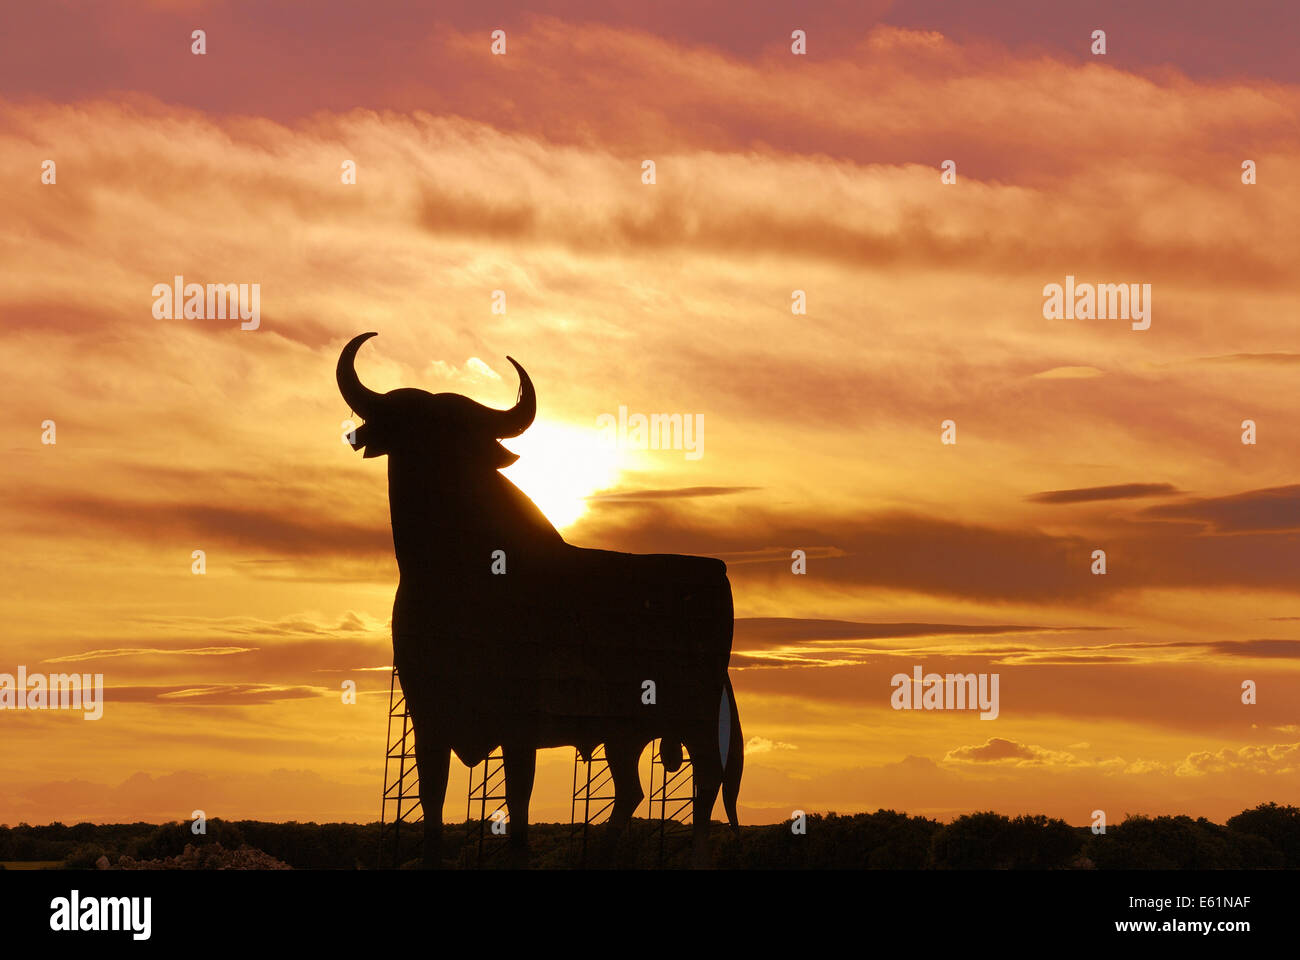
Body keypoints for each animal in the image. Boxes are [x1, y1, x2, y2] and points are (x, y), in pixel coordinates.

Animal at [337, 332, 743, 867]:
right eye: (411, 431)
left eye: (462, 439)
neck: (454, 574)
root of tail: (716, 571)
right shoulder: (428, 717)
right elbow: (432, 801)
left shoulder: (520, 723)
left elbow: (518, 800)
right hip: (624, 731)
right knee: (631, 789)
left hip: (694, 716)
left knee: (705, 784)